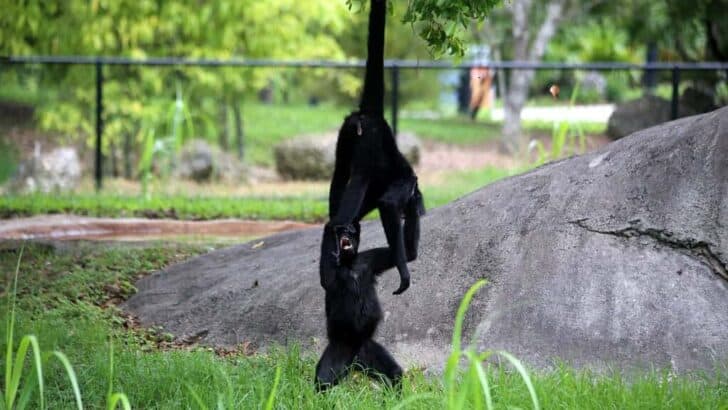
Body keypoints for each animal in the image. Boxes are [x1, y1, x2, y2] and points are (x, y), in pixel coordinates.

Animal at [328, 0, 425, 296]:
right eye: (414, 203)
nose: (417, 210)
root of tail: (372, 115)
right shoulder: (404, 185)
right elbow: (387, 204)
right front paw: (404, 272)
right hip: (367, 136)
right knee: (358, 178)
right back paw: (339, 227)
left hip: (347, 131)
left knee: (339, 173)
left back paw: (333, 225)